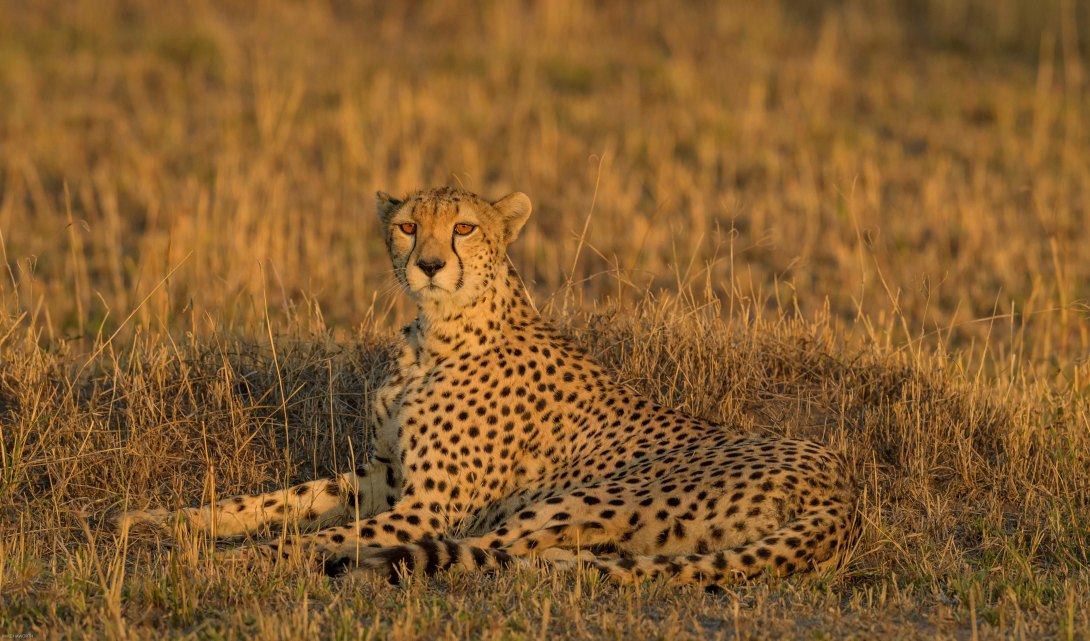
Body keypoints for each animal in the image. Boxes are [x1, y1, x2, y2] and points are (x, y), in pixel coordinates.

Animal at [117, 186, 859, 586]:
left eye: (464, 227)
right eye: (407, 226)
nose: (429, 264)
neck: (436, 332)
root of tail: (844, 486)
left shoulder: (429, 507)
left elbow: (313, 536)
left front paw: (236, 560)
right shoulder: (383, 475)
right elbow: (279, 500)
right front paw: (166, 521)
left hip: (573, 496)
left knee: (494, 549)